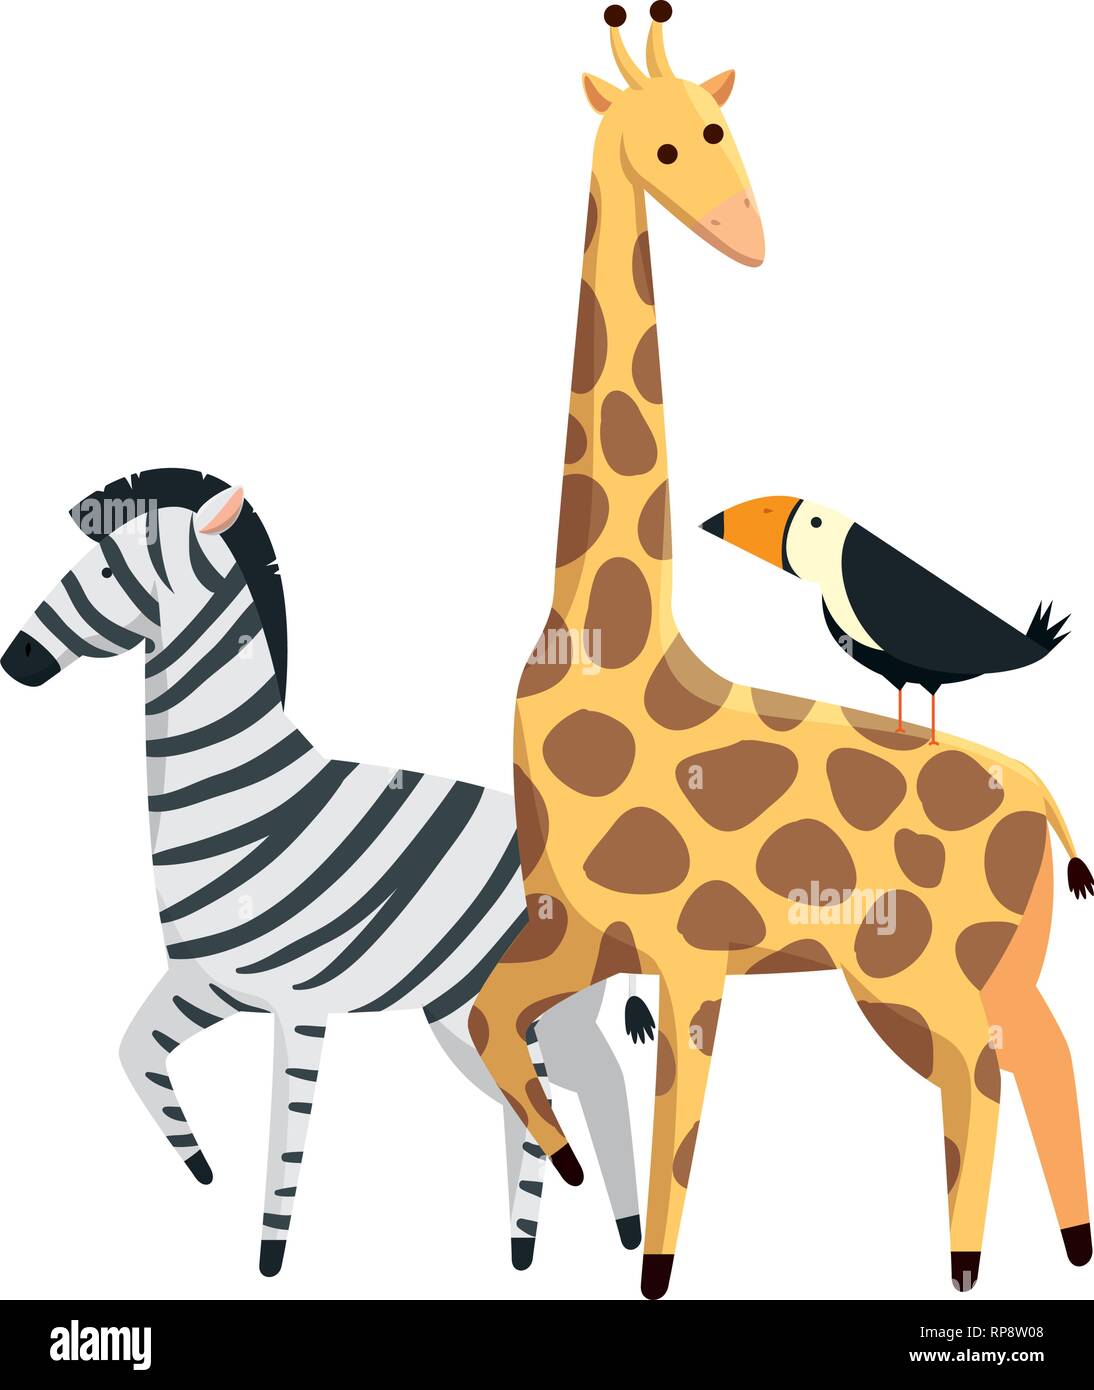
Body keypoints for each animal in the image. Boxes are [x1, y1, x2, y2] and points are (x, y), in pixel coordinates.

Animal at [2, 469, 656, 1277]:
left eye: (101, 570)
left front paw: (269, 1258)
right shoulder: (206, 985)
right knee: (552, 1099)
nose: (15, 660)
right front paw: (200, 1167)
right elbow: (135, 1055)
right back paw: (540, 1244)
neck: (244, 791)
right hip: (468, 1018)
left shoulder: (297, 1008)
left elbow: (286, 1144)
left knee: (587, 1087)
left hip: (536, 1012)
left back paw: (602, 1233)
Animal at [468, 5, 1092, 1299]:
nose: (746, 238)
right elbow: (483, 1018)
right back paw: (1061, 1245)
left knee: (981, 1067)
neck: (599, 642)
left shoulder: (688, 953)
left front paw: (649, 1268)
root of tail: (1046, 799)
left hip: (911, 968)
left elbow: (677, 1143)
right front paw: (565, 1166)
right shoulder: (574, 927)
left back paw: (964, 1264)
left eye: (720, 128)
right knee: (1037, 1053)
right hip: (972, 965)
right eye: (667, 143)